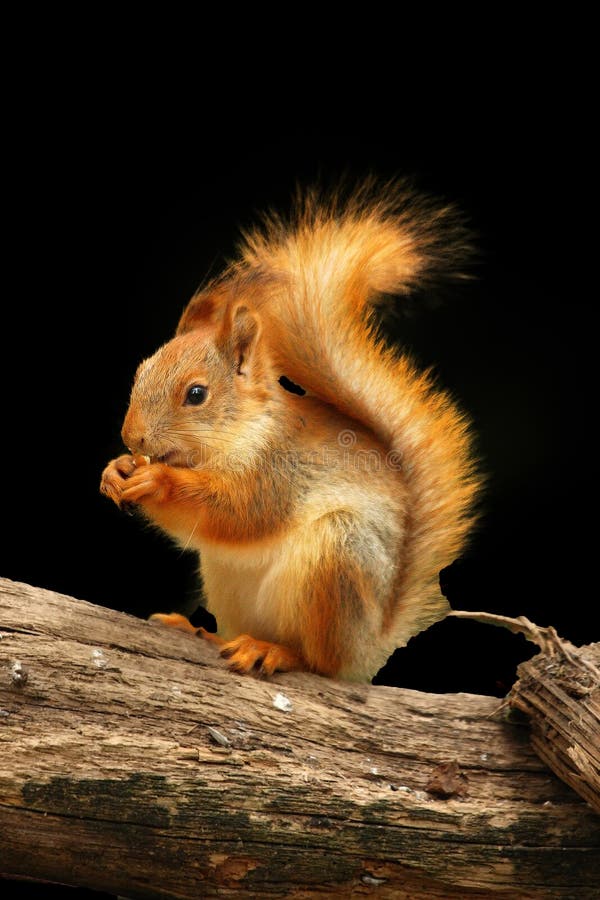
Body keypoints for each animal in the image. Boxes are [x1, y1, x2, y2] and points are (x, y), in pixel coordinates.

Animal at [100, 181, 480, 681]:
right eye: (141, 372)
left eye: (197, 394)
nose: (134, 439)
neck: (239, 431)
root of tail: (369, 647)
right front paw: (115, 470)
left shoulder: (278, 469)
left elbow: (237, 512)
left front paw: (157, 480)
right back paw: (201, 632)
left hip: (339, 558)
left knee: (320, 663)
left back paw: (274, 651)